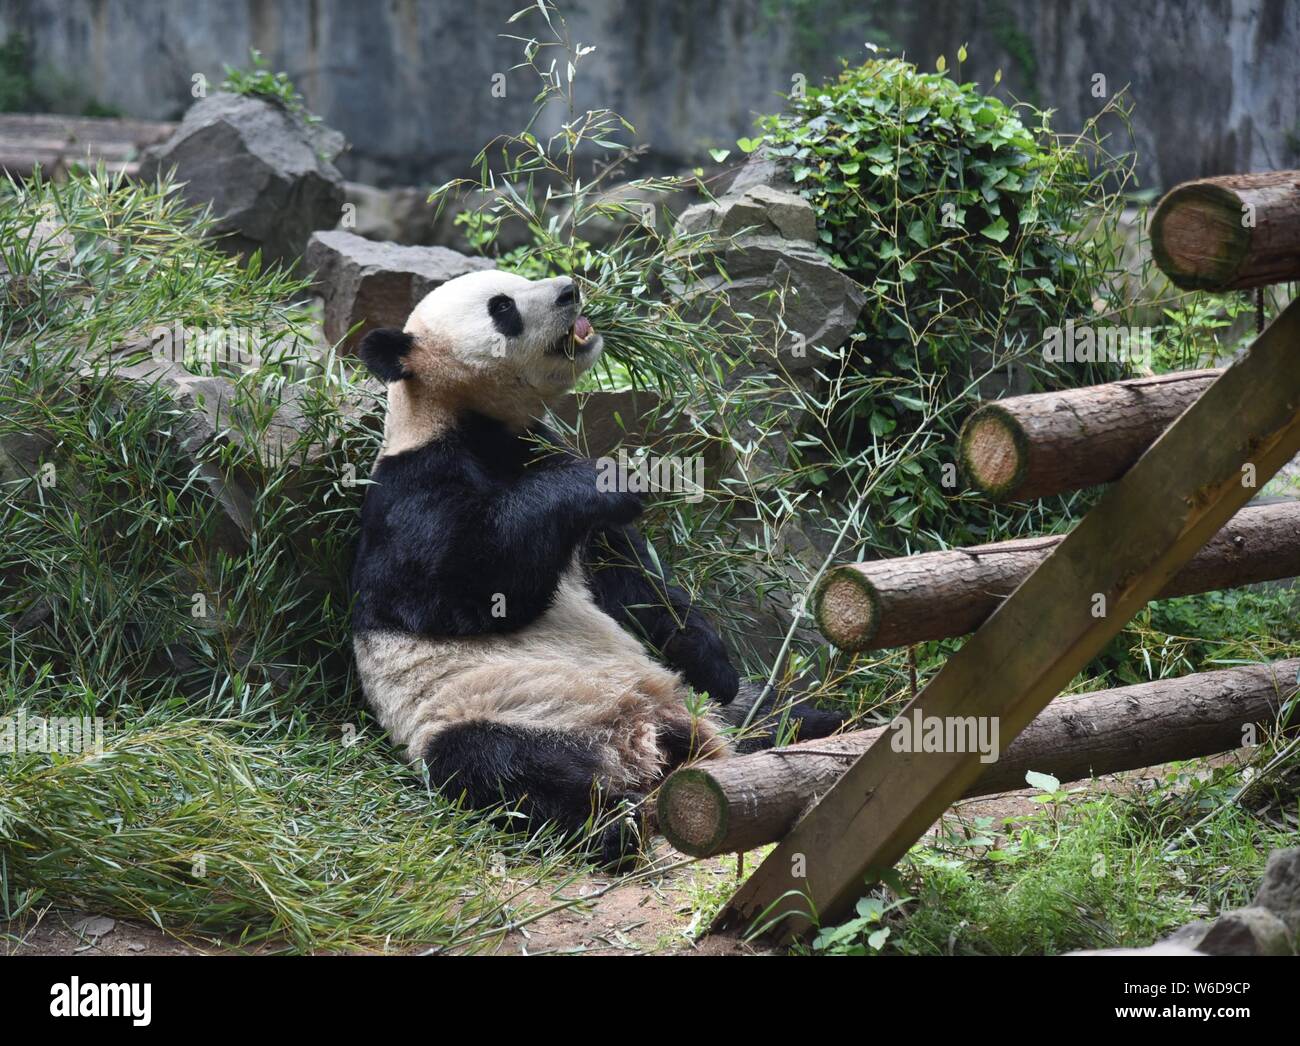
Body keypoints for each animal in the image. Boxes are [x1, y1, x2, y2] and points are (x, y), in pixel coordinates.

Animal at [349, 269, 843, 864]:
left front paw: (713, 662)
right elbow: (459, 587)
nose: (570, 290)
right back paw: (611, 823)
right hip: (492, 713)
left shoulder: (542, 458)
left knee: (772, 711)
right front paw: (611, 480)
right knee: (503, 771)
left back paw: (829, 724)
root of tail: (648, 741)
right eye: (501, 307)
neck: (466, 420)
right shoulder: (410, 493)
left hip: (698, 705)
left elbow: (635, 582)